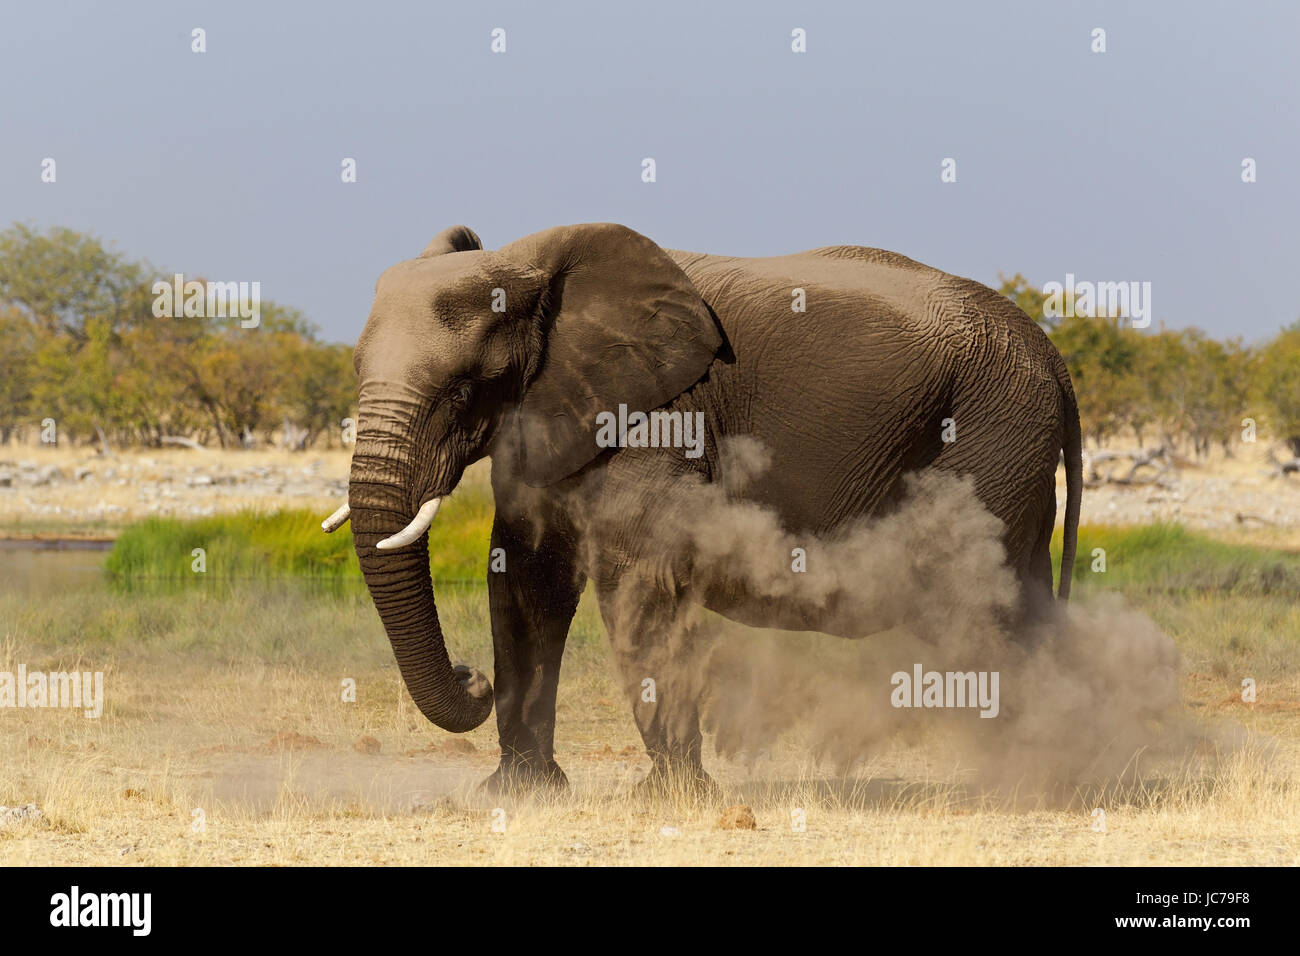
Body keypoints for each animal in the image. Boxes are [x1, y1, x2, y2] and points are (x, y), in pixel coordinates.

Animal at [321, 222, 1082, 794]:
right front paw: (520, 793)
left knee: (986, 602)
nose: (468, 676)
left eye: (463, 388)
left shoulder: (654, 414)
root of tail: (1052, 354)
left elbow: (638, 576)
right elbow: (526, 579)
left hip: (992, 431)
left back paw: (1030, 780)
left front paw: (672, 798)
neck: (535, 265)